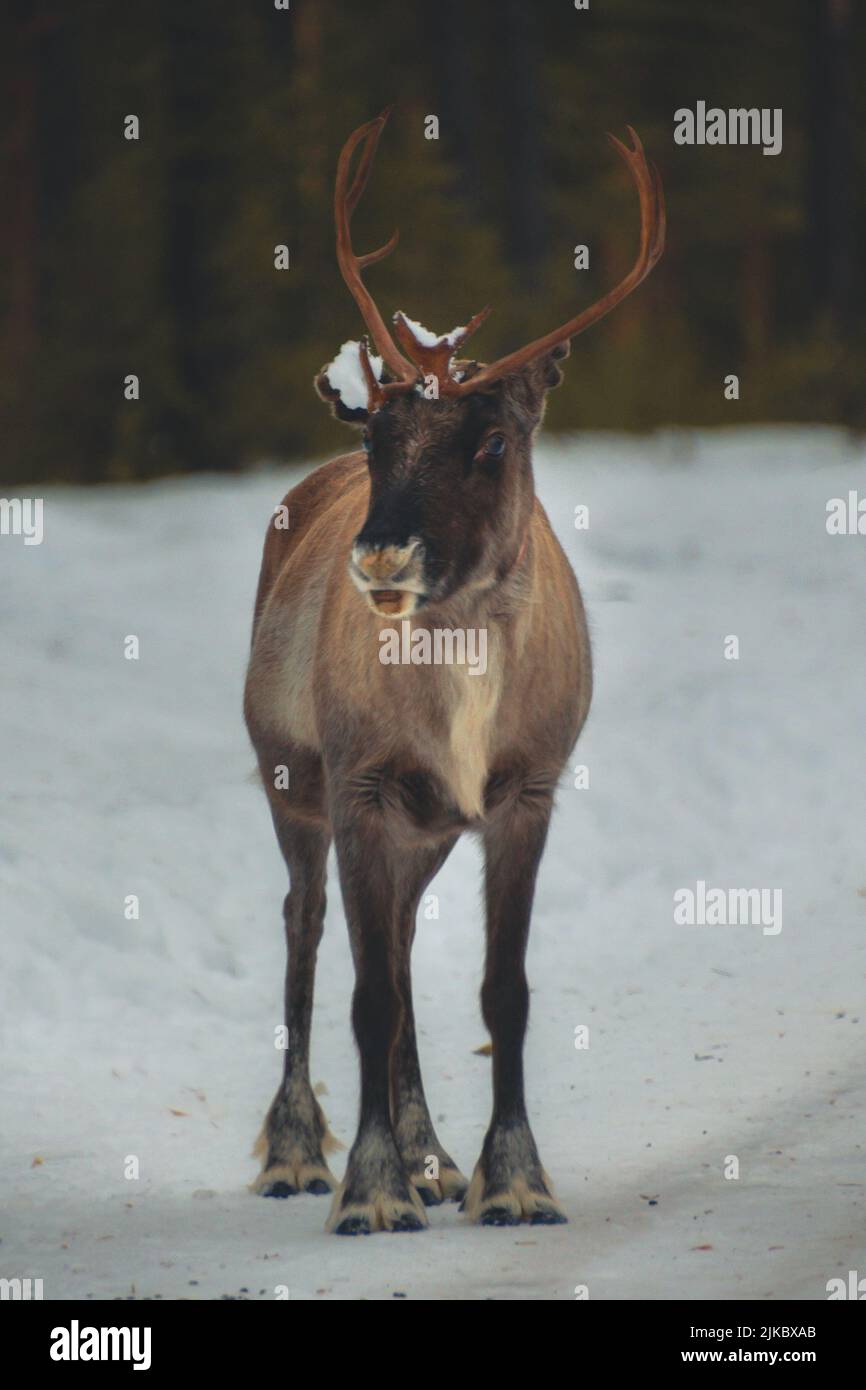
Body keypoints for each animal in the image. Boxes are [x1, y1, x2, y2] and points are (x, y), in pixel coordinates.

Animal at [244, 111, 664, 1235]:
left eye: (491, 440)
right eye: (381, 437)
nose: (382, 555)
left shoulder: (522, 788)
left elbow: (497, 993)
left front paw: (508, 1178)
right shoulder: (360, 785)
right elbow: (366, 994)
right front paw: (369, 1190)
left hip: (429, 826)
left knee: (390, 944)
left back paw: (430, 1154)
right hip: (292, 784)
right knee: (308, 933)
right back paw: (294, 1152)